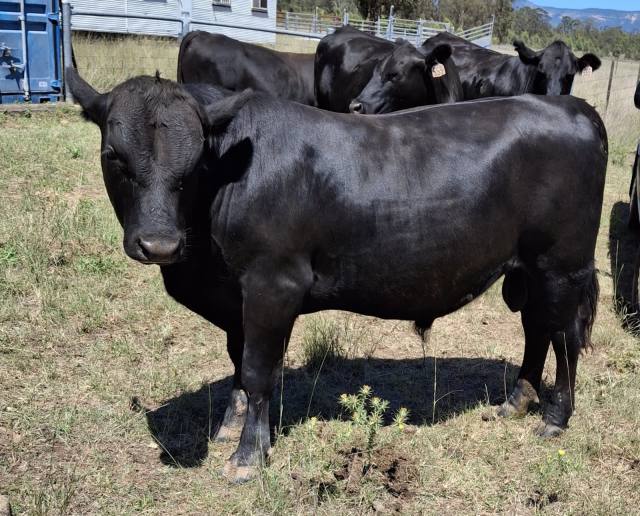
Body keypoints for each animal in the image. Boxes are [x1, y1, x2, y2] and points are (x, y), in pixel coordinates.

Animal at [67, 68, 607, 484]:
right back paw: (515, 401)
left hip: (561, 265)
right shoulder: (236, 297)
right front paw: (231, 425)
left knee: (563, 337)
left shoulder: (272, 285)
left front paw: (247, 457)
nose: (159, 244)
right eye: (113, 155)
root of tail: (574, 107)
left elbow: (259, 370)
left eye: (196, 159)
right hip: (530, 270)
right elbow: (239, 361)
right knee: (537, 329)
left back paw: (555, 417)